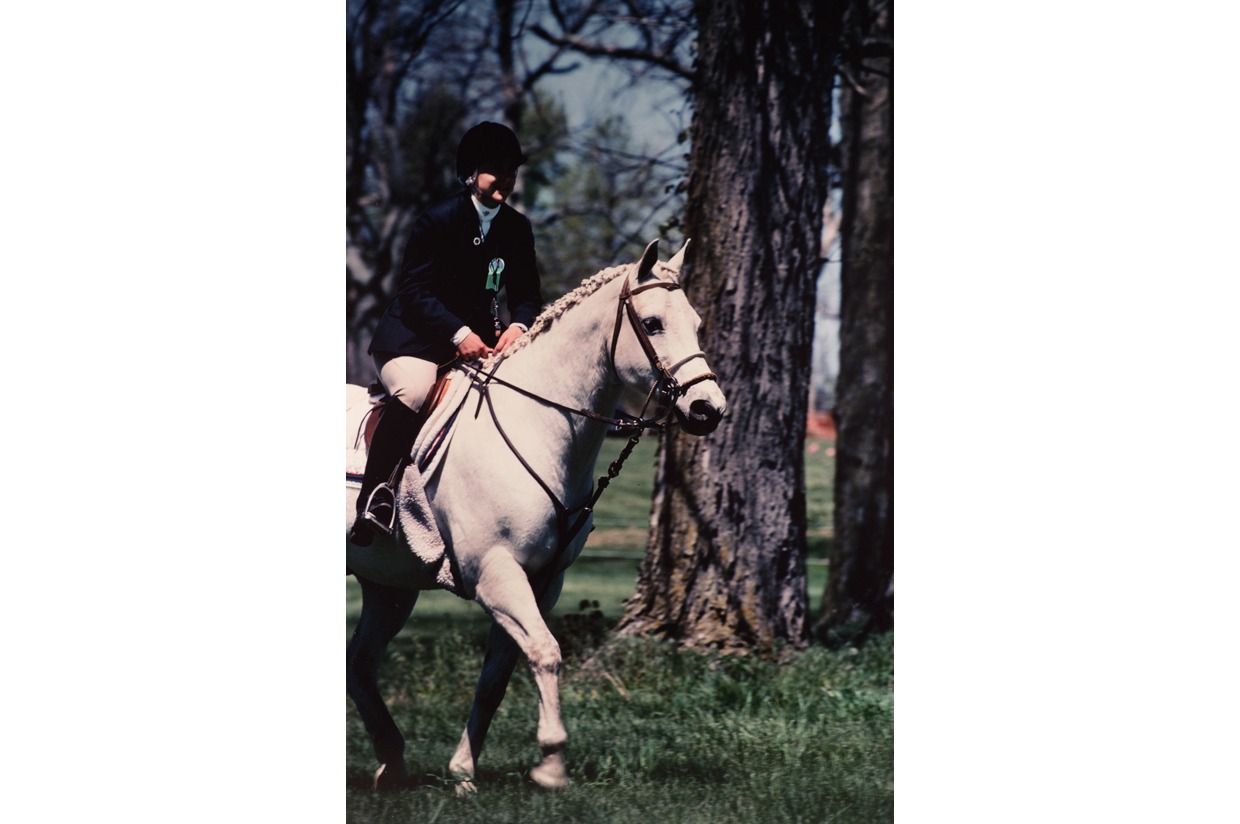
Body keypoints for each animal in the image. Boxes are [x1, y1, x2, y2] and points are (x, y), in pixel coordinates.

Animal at [345, 239, 728, 792]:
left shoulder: (541, 581)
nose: (708, 409)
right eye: (653, 323)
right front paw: (550, 761)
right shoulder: (496, 574)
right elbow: (545, 652)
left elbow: (497, 678)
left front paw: (464, 773)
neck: (535, 425)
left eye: (695, 323)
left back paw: (392, 764)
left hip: (388, 588)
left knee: (359, 664)